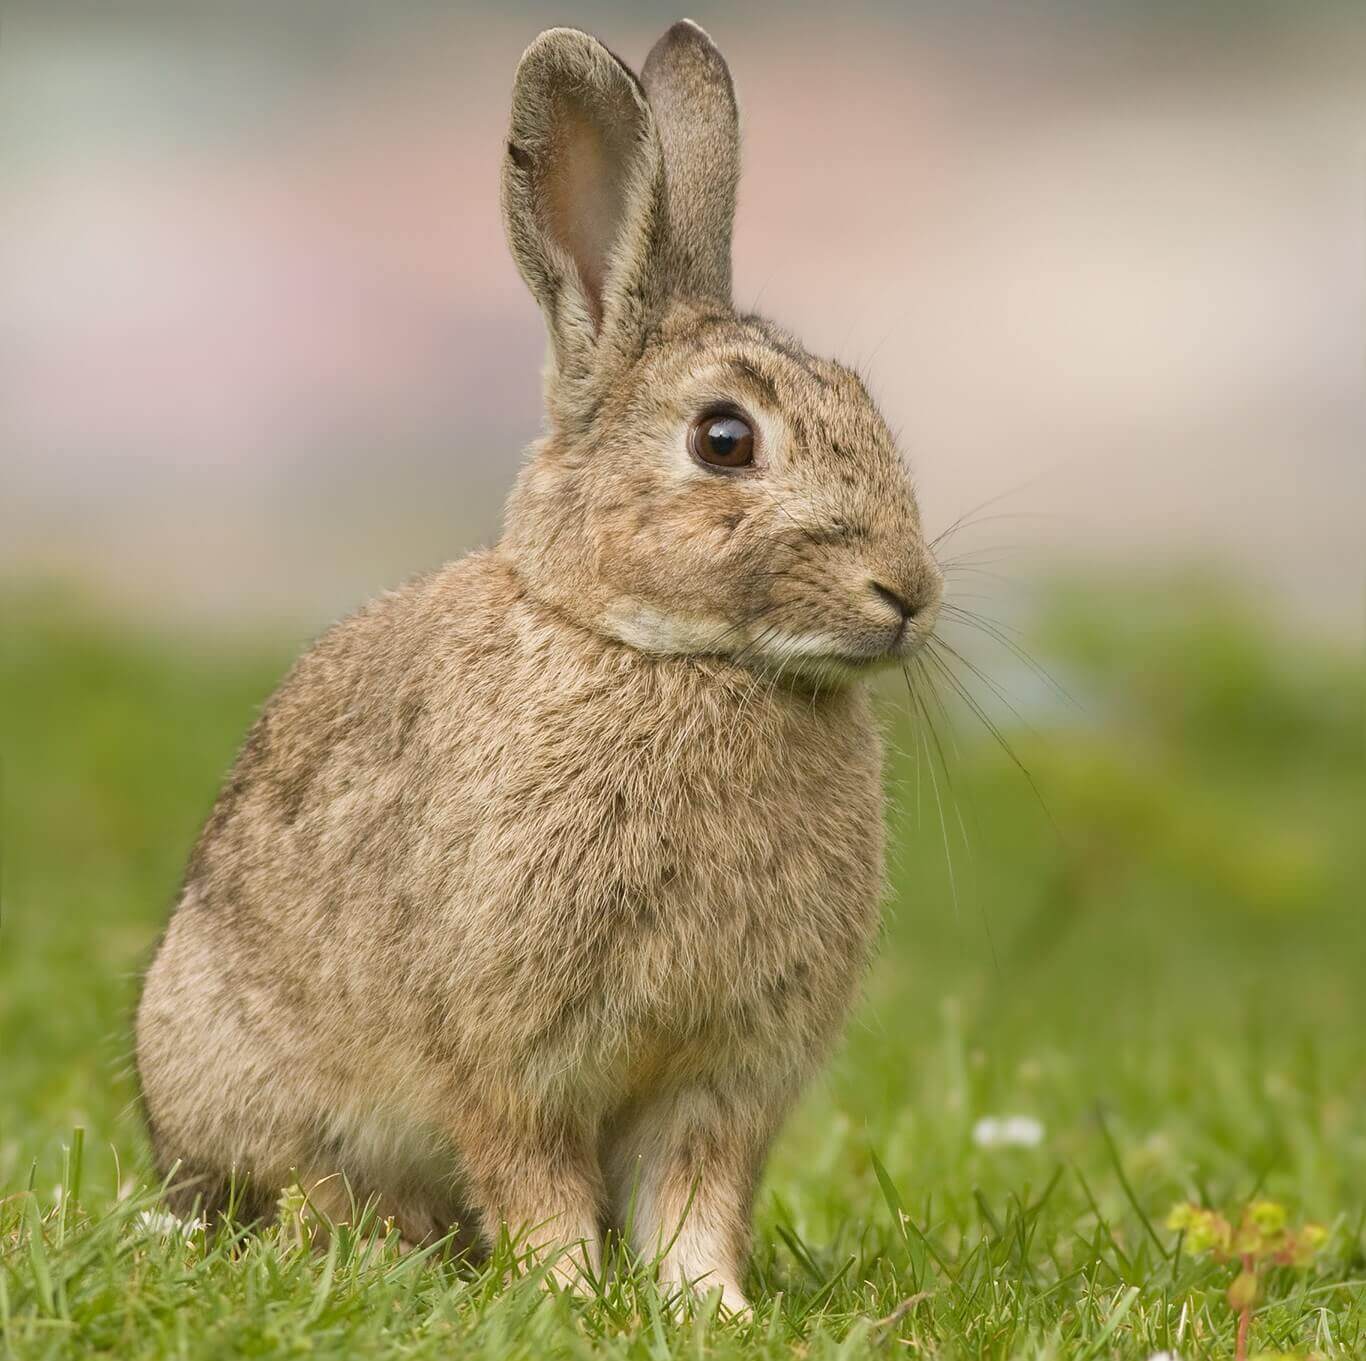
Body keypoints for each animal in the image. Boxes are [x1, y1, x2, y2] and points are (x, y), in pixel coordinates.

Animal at [135, 20, 943, 1312]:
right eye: (725, 439)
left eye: (864, 401)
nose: (906, 593)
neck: (672, 655)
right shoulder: (510, 1052)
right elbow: (533, 1175)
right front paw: (565, 1291)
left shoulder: (724, 1074)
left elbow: (695, 1193)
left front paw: (708, 1306)